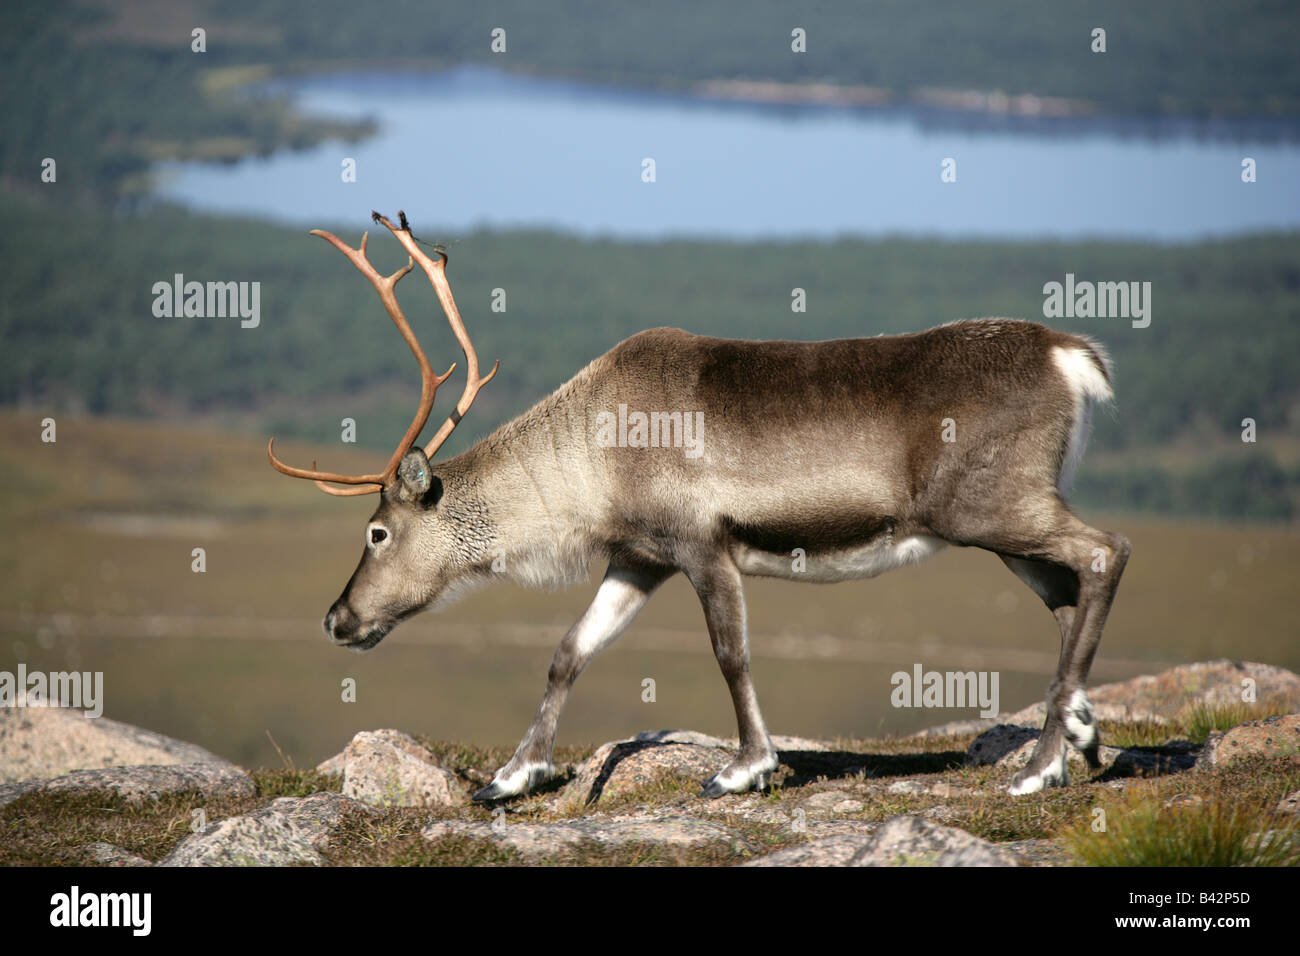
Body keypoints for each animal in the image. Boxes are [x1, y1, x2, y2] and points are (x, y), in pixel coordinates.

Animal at [268, 210, 1130, 801]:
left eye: (378, 531)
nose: (336, 620)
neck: (589, 465)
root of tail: (1076, 358)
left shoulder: (701, 545)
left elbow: (729, 653)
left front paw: (745, 768)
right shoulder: (637, 558)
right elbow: (568, 652)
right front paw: (513, 777)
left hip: (989, 507)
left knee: (1104, 552)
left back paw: (1042, 766)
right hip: (1002, 527)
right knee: (1066, 594)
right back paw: (1079, 732)